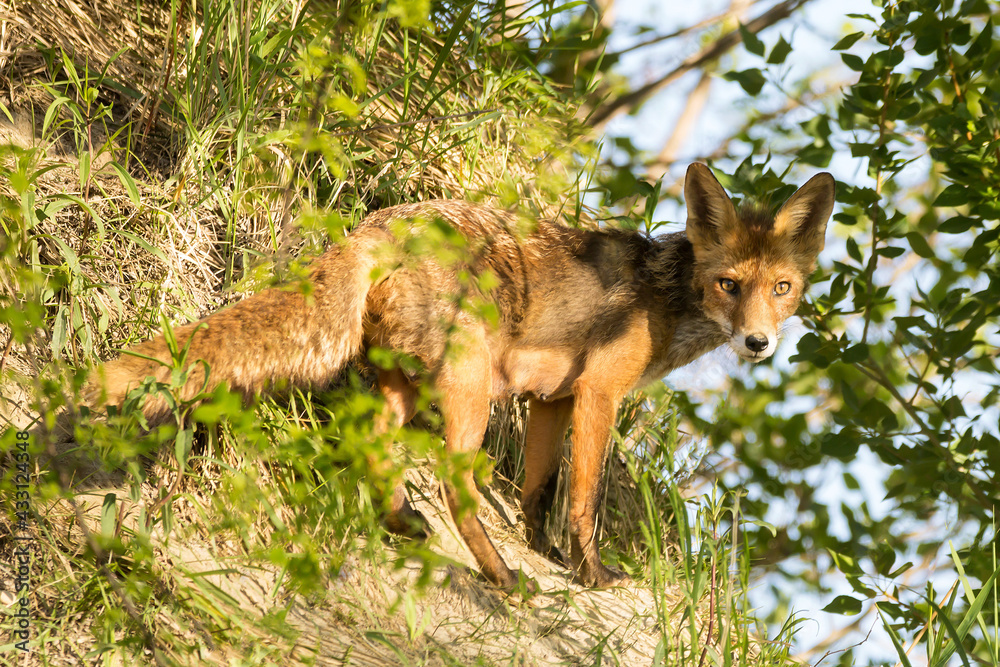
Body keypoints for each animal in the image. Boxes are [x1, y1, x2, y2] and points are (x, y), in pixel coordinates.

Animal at [90, 163, 835, 591]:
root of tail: (379, 222)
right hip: (469, 389)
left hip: (408, 384)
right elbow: (583, 499)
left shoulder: (552, 398)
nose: (759, 342)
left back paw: (401, 523)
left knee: (372, 448)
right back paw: (499, 577)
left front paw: (542, 549)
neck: (667, 296)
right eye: (729, 284)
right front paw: (587, 572)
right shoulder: (599, 394)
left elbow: (537, 490)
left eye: (782, 288)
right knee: (457, 486)